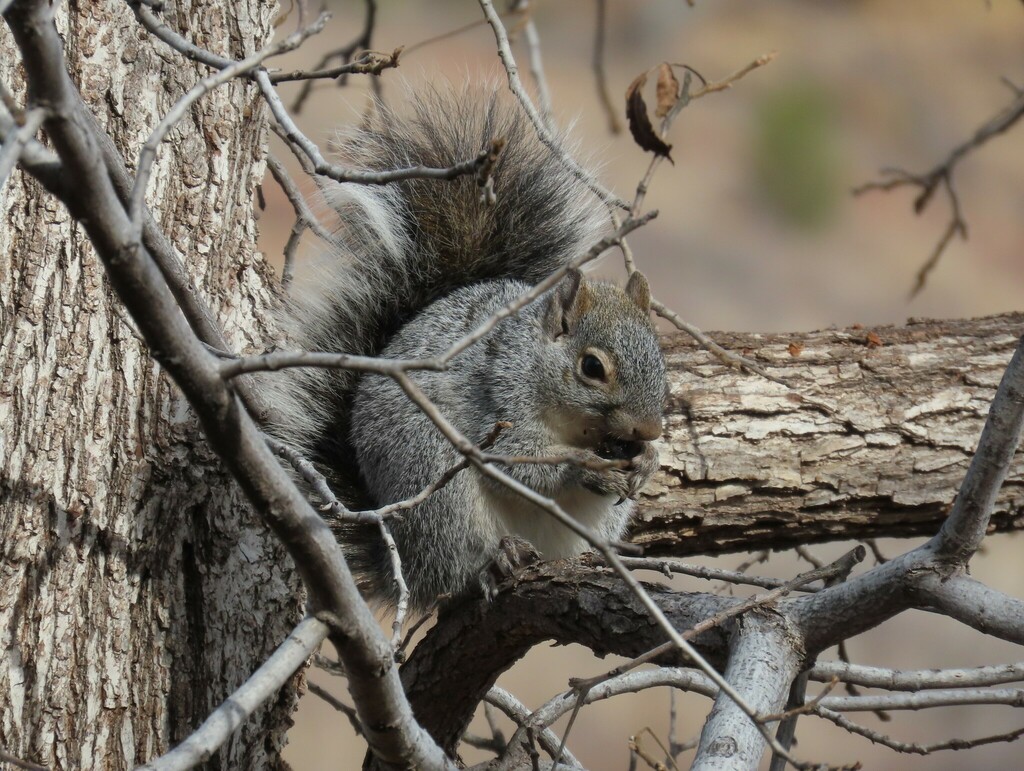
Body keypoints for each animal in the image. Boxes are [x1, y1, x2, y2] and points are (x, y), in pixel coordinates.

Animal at [263, 89, 667, 611]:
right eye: (592, 367)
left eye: (660, 360)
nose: (649, 428)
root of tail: (404, 560)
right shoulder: (495, 401)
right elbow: (513, 462)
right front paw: (586, 466)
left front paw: (648, 459)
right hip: (435, 481)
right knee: (453, 569)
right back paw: (494, 562)